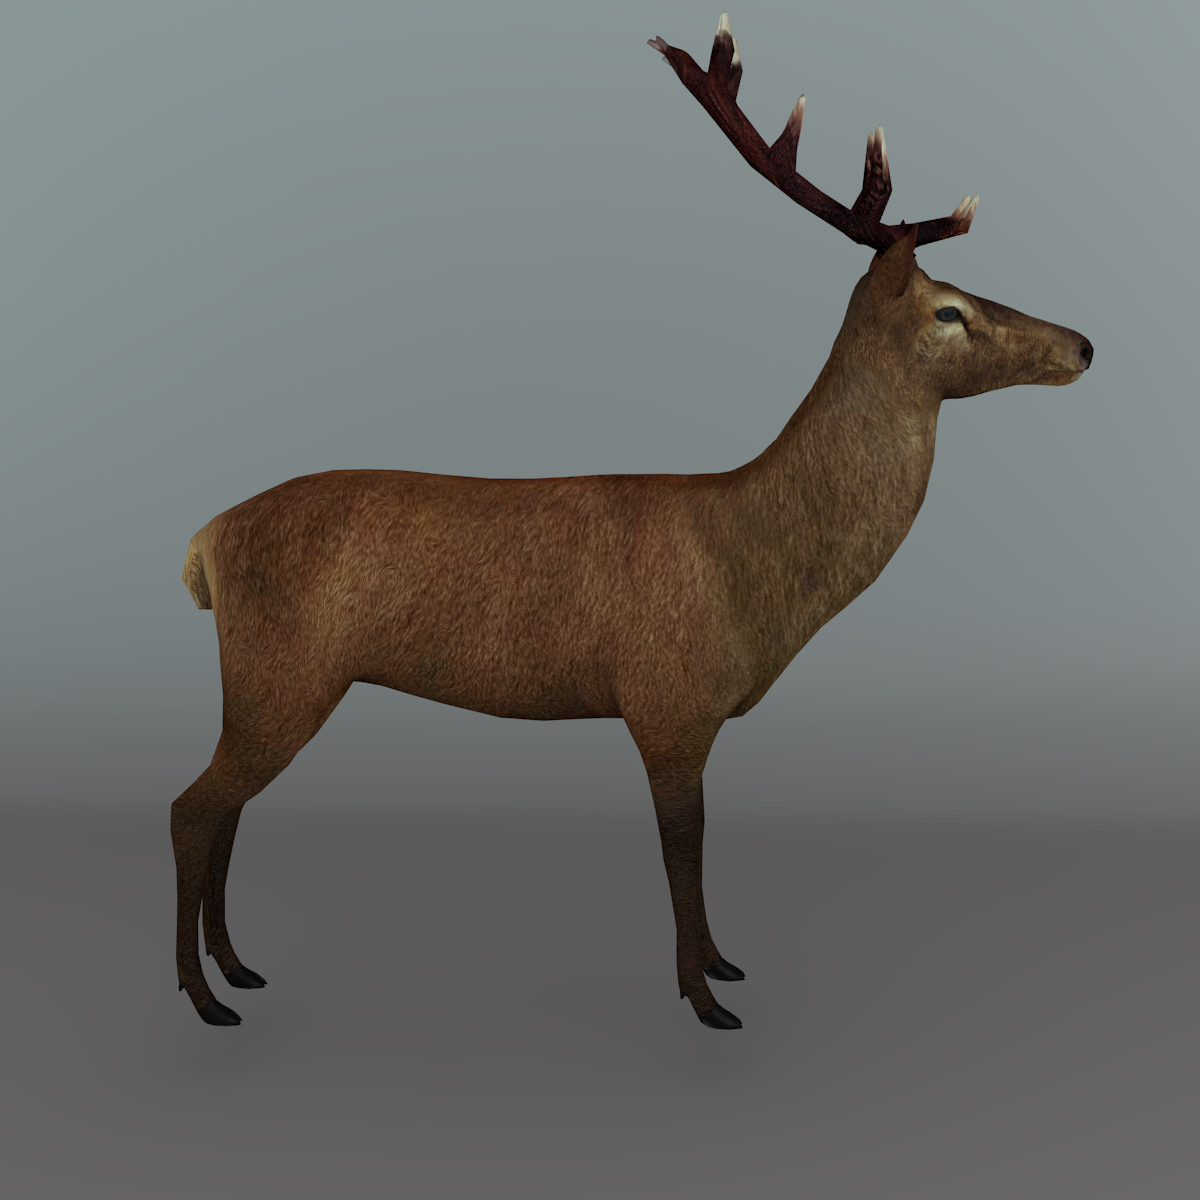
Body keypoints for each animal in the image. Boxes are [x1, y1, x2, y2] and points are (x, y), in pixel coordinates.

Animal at [172, 12, 1092, 1030]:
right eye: (950, 309)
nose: (1085, 344)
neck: (752, 575)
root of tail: (202, 545)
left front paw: (722, 965)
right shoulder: (668, 700)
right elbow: (682, 850)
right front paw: (705, 996)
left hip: (267, 682)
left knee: (227, 810)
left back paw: (239, 968)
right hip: (286, 669)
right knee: (192, 808)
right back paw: (203, 997)